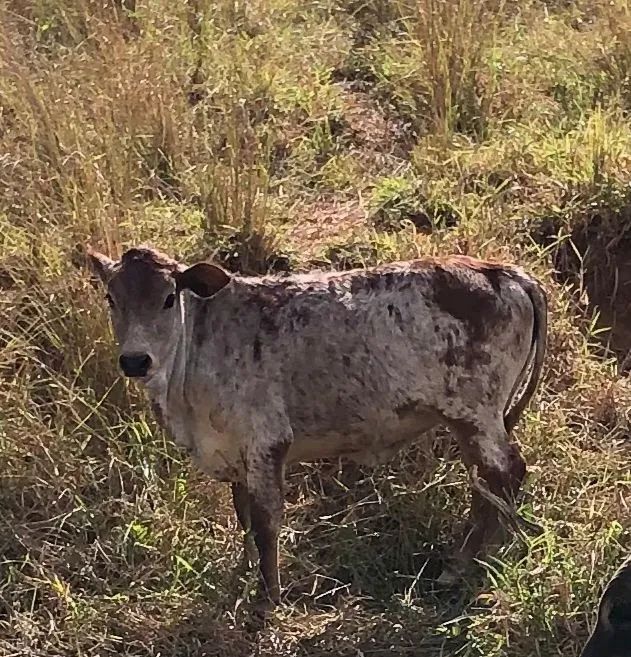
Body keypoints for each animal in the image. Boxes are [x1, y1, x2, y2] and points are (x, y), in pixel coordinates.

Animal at [84, 244, 547, 606]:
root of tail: (501, 272)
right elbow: (243, 517)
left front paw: (268, 596)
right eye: (110, 297)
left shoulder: (266, 443)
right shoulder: (233, 453)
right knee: (485, 484)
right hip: (471, 423)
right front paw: (244, 572)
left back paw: (461, 565)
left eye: (167, 299)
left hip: (476, 415)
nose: (135, 360)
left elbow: (265, 521)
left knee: (506, 473)